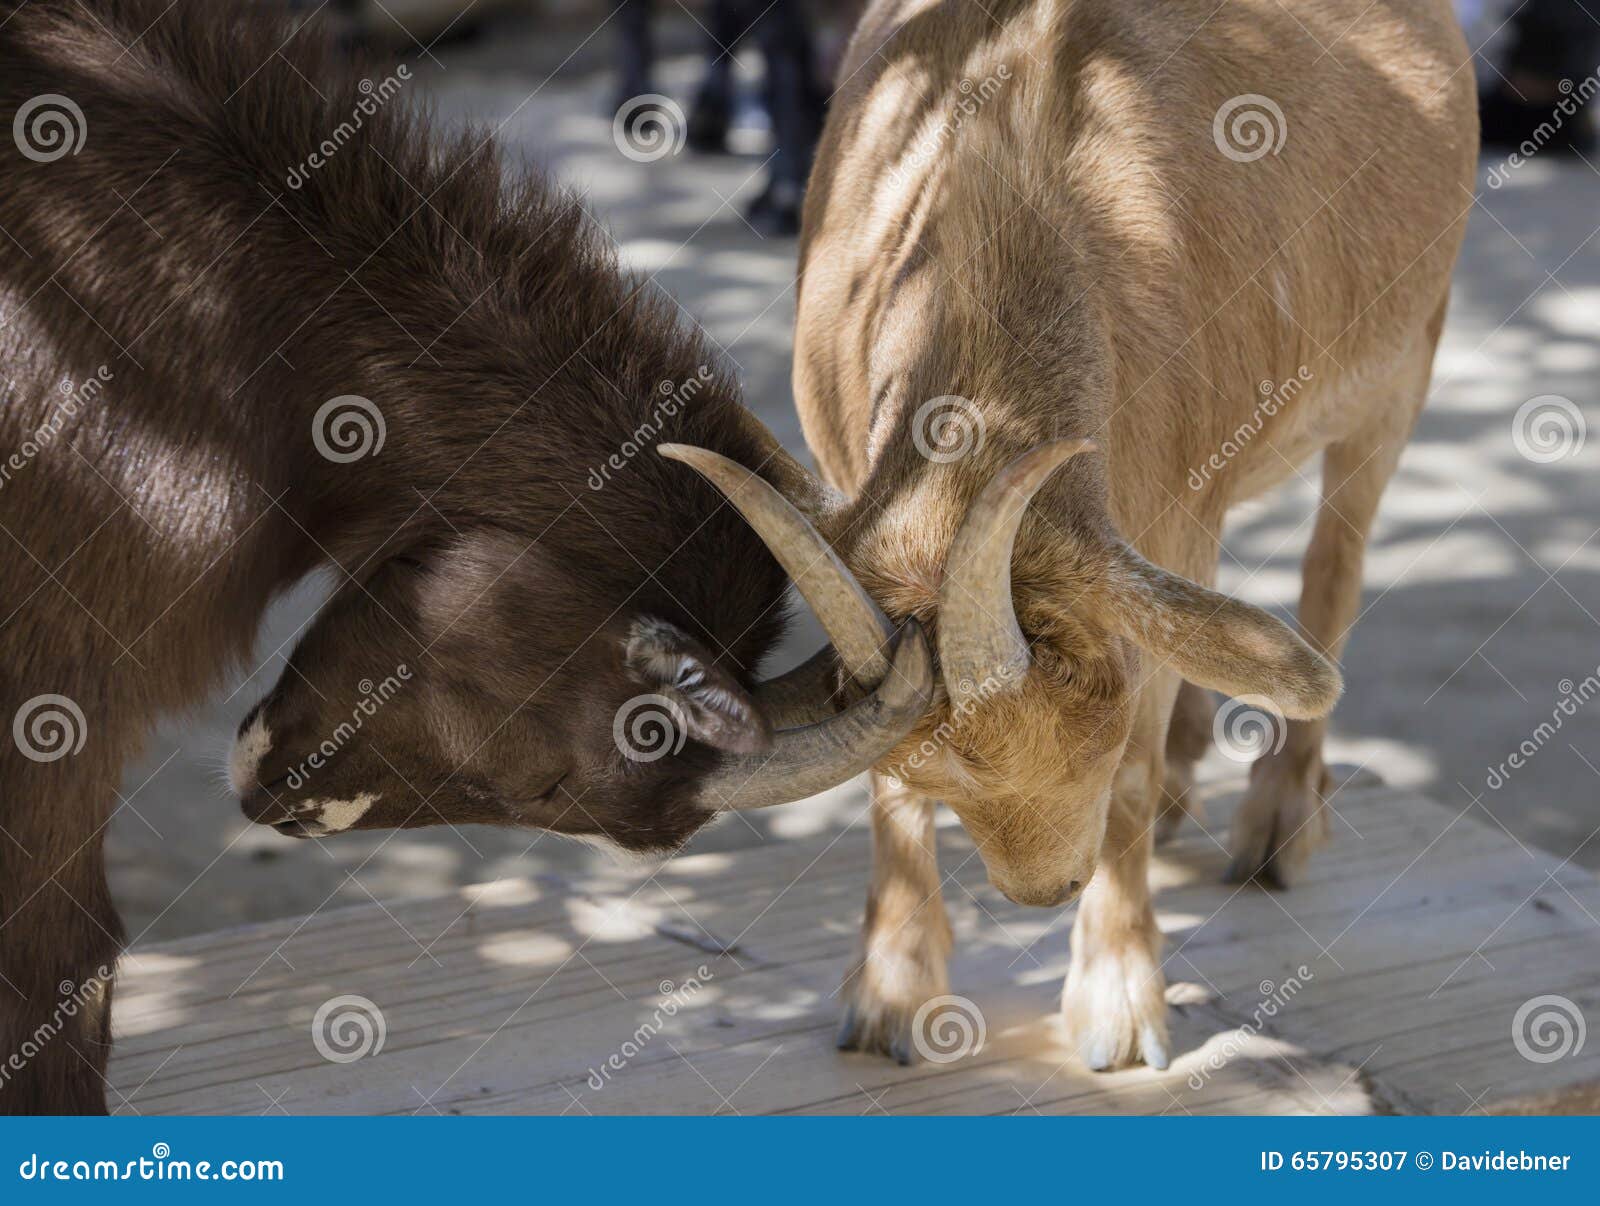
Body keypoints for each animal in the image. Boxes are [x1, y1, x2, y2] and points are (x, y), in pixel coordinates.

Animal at [673, 0, 1477, 1068]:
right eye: (945, 772)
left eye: (1093, 728)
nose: (1045, 888)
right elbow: (885, 781)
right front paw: (893, 997)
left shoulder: (1175, 509)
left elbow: (1137, 757)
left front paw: (1118, 1005)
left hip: (1403, 365)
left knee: (1334, 565)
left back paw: (1277, 826)